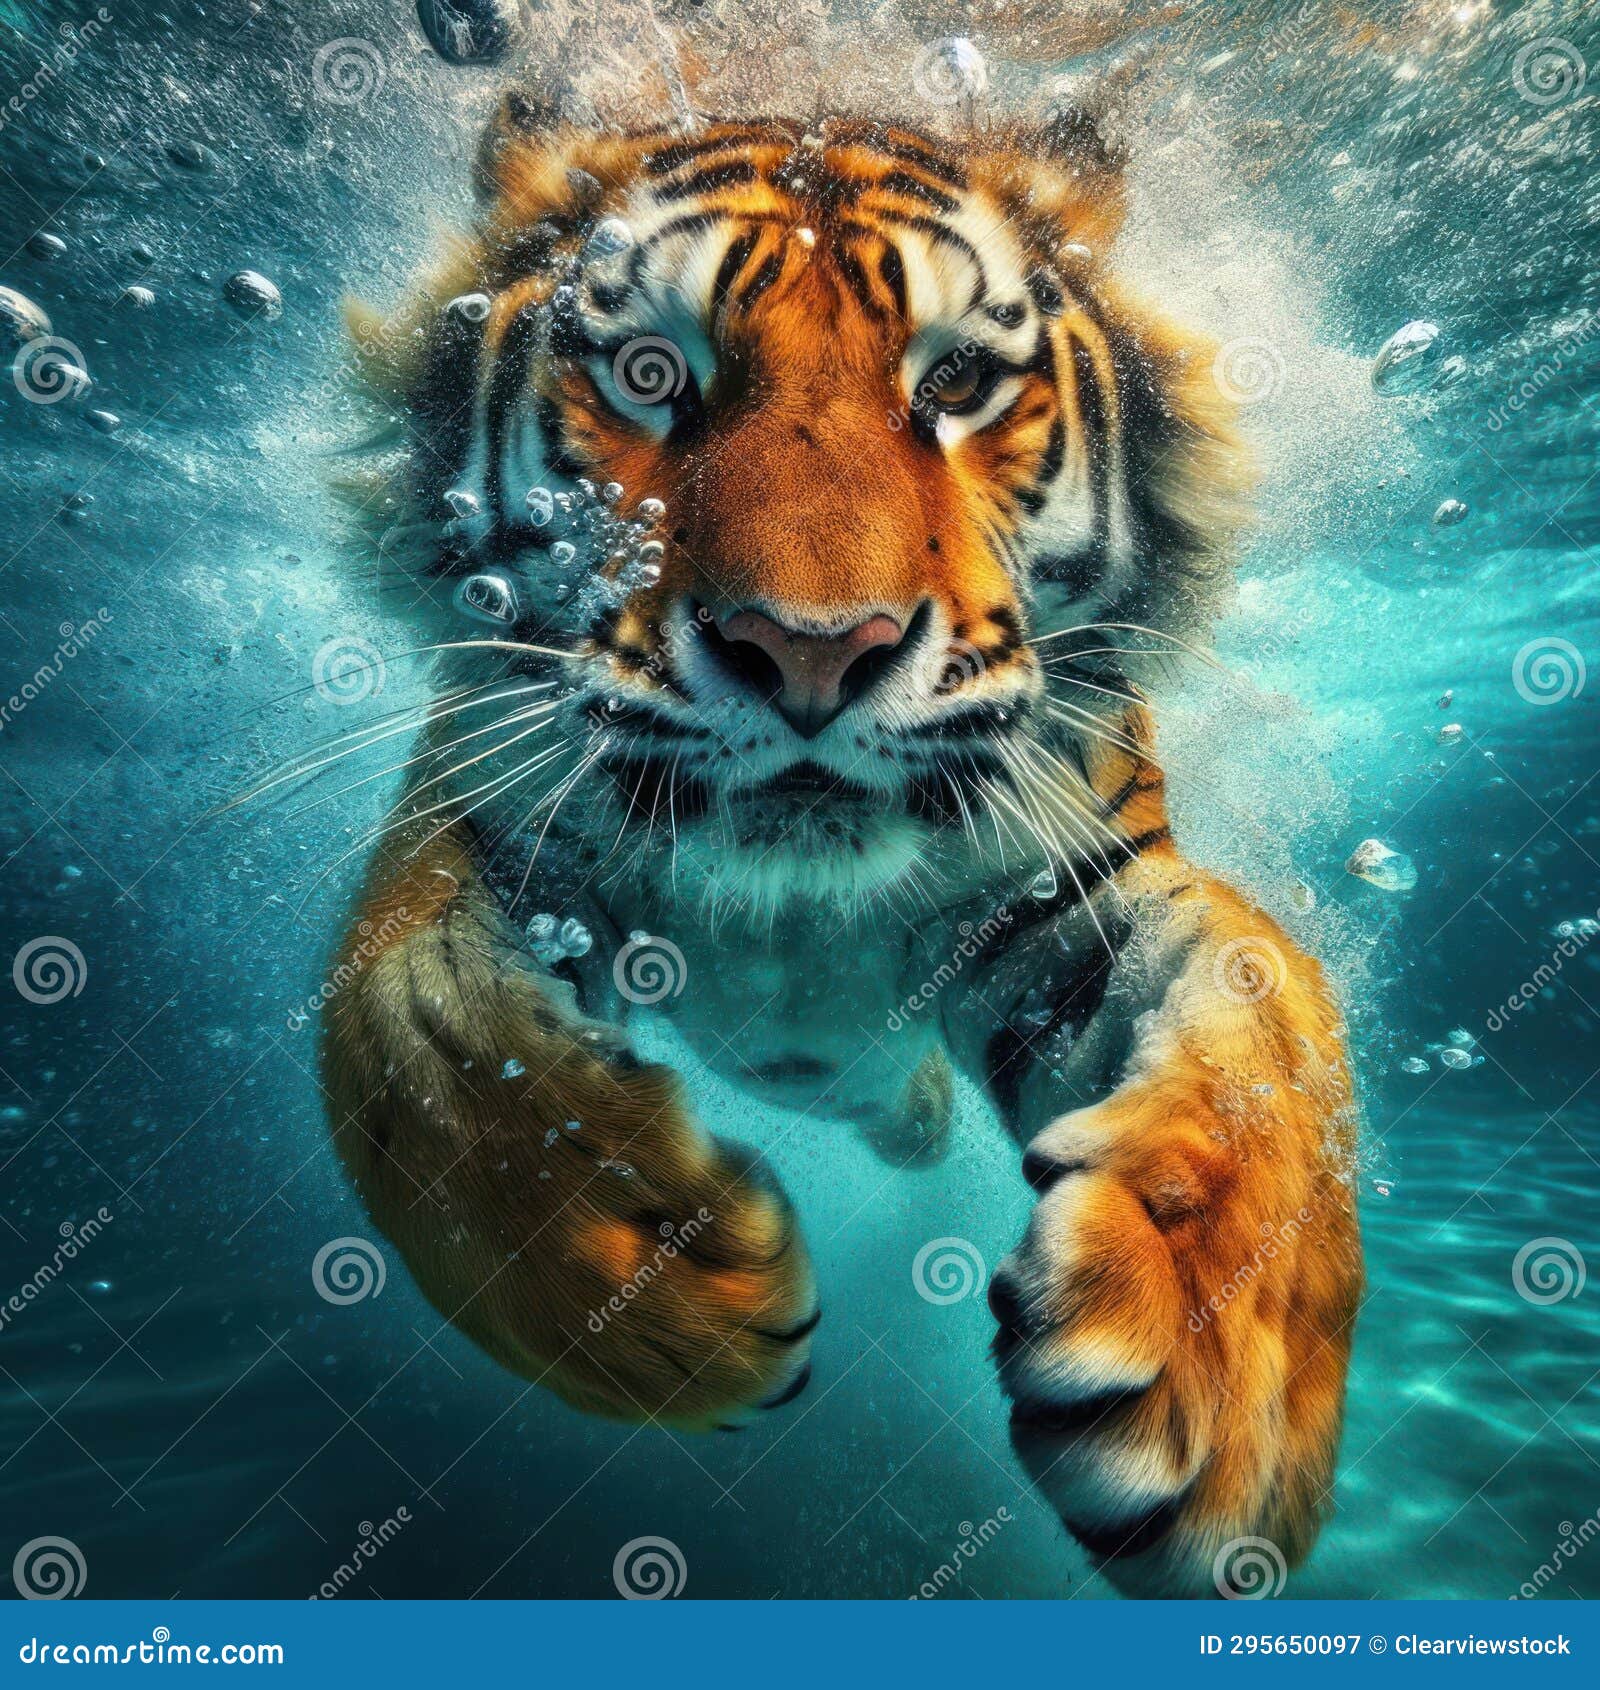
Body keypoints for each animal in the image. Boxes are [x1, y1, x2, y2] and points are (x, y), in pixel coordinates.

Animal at [317, 85, 1364, 1598]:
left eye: (957, 381)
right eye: (650, 373)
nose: (812, 649)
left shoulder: (1072, 886)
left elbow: (1270, 1009)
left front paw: (1225, 1394)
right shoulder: (488, 820)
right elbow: (399, 1029)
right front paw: (647, 1265)